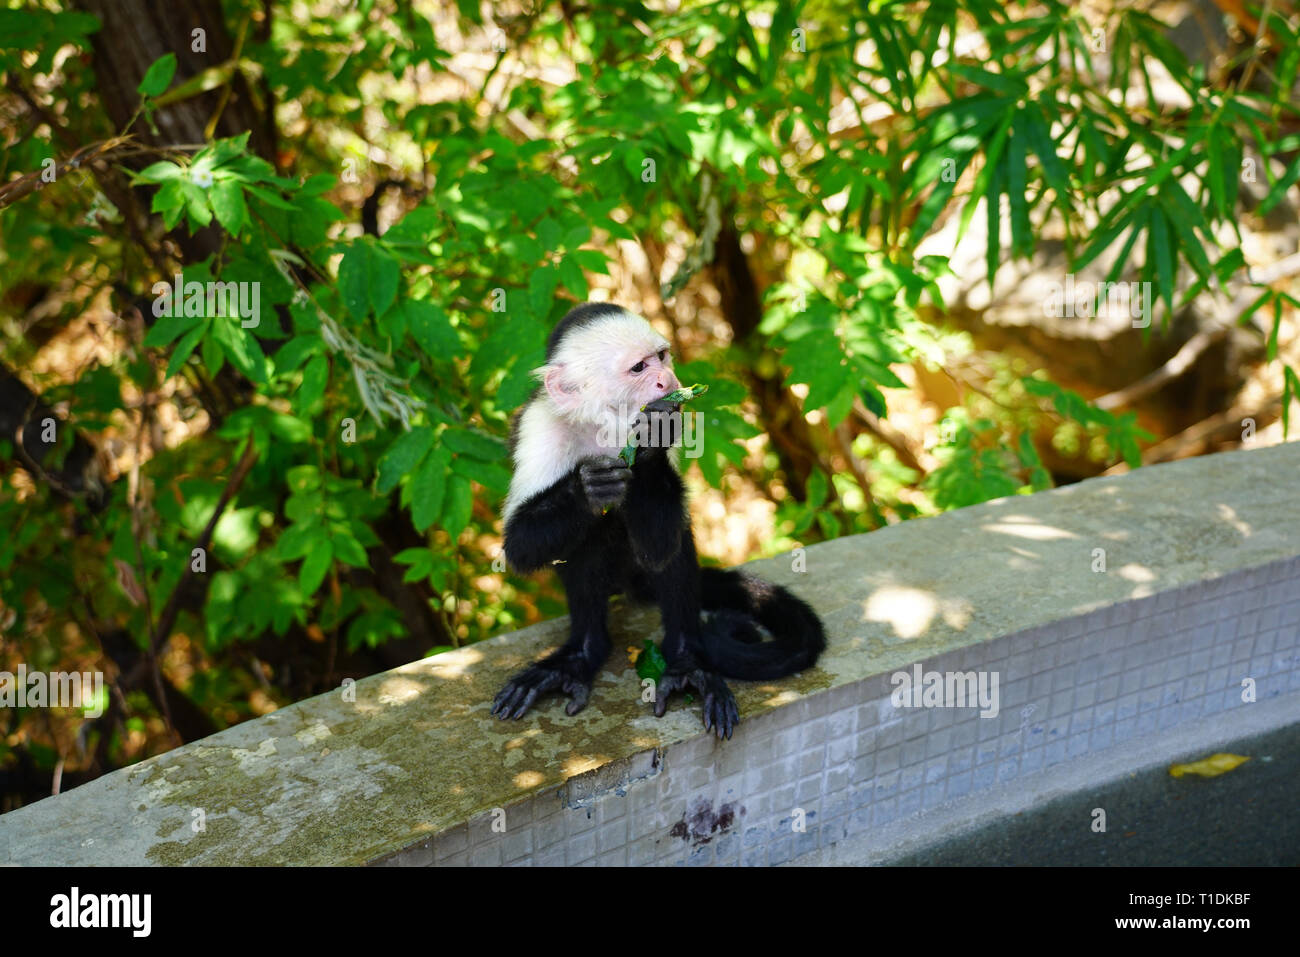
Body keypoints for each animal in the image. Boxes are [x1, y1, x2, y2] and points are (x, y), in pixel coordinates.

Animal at [491, 303, 826, 739]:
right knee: (587, 538)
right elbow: (519, 546)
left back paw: (685, 662)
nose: (668, 380)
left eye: (663, 357)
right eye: (638, 367)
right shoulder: (542, 428)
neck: (608, 428)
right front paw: (586, 487)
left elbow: (662, 544)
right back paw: (582, 654)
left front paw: (652, 443)